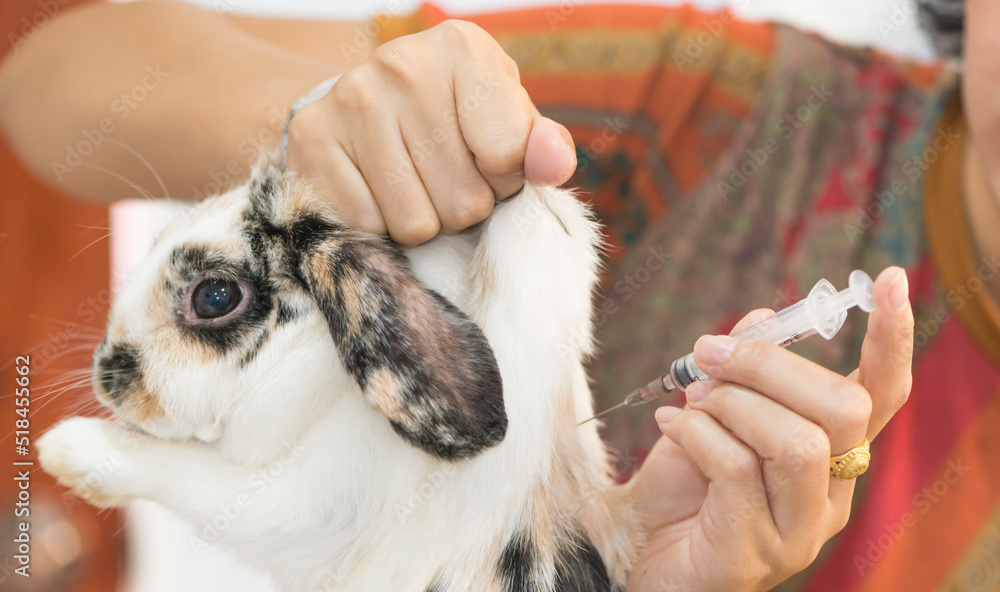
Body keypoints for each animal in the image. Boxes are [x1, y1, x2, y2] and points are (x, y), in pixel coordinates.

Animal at [37, 161, 641, 592]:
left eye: (215, 297)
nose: (105, 372)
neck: (321, 383)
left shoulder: (291, 504)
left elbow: (179, 472)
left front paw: (65, 450)